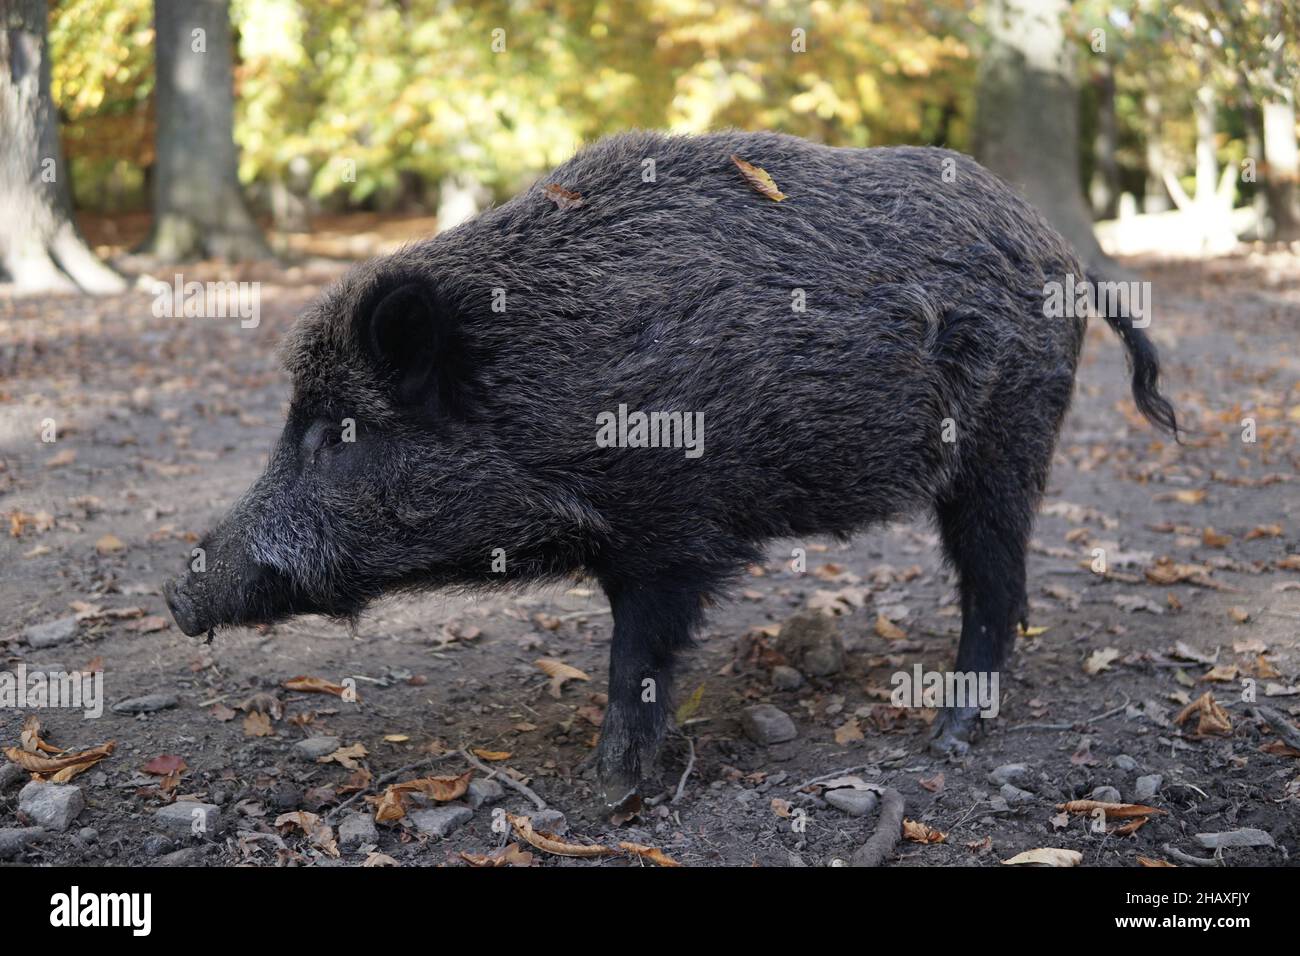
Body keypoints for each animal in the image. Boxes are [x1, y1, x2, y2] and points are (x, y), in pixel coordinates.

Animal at [164, 130, 1177, 809]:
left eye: (336, 434)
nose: (177, 591)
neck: (543, 382)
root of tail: (1060, 249)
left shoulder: (674, 533)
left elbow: (638, 659)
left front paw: (611, 790)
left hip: (1008, 440)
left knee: (996, 581)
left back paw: (947, 739)